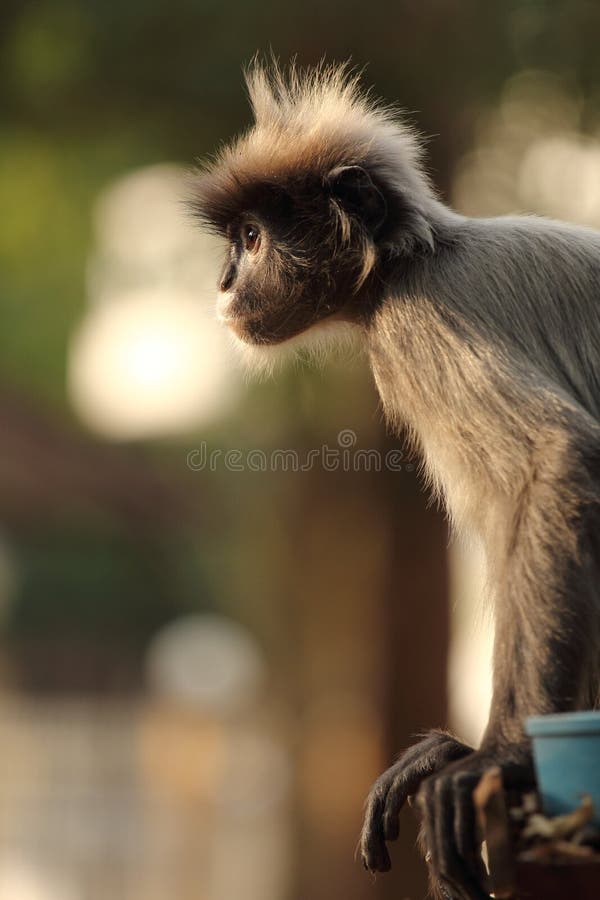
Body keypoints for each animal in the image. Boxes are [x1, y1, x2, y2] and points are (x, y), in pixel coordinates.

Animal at [191, 62, 600, 900]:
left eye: (251, 239)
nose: (222, 278)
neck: (410, 264)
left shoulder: (423, 320)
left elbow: (558, 457)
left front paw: (497, 758)